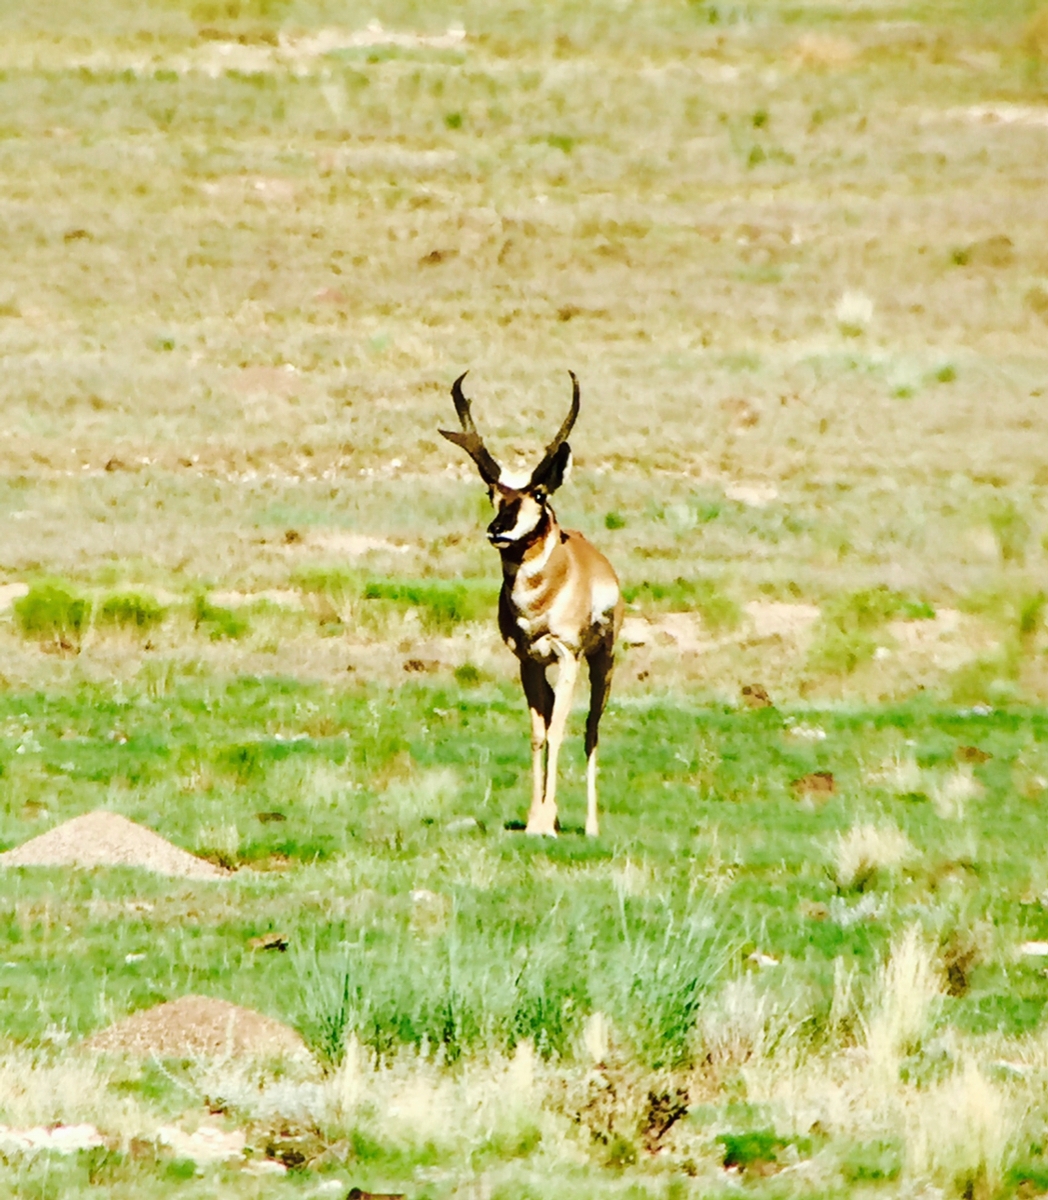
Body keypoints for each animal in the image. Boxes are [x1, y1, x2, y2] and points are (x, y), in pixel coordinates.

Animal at [439, 371, 623, 837]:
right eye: (492, 492)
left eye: (538, 494)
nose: (498, 530)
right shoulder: (529, 660)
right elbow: (539, 734)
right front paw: (536, 817)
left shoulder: (568, 655)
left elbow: (559, 731)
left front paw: (546, 822)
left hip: (603, 661)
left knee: (591, 730)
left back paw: (591, 825)